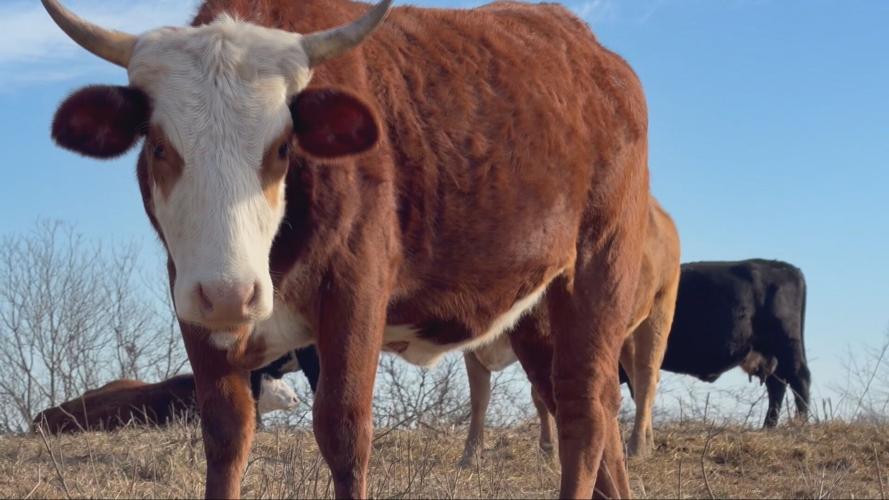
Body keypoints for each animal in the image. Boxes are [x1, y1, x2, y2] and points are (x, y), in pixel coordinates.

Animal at [43, 0, 651, 496]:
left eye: (282, 147)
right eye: (159, 146)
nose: (231, 293)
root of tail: (596, 57)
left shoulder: (354, 295)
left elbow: (343, 431)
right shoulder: (195, 307)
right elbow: (225, 433)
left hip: (598, 270)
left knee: (583, 408)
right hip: (539, 308)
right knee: (585, 403)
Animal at [460, 197, 679, 463]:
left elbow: (540, 395)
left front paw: (549, 451)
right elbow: (479, 399)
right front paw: (470, 456)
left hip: (660, 308)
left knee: (646, 377)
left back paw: (636, 447)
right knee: (640, 382)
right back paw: (647, 442)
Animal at [619, 259, 810, 428]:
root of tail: (789, 269)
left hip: (787, 346)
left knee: (800, 379)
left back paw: (801, 423)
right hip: (770, 353)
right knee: (777, 385)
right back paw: (768, 427)